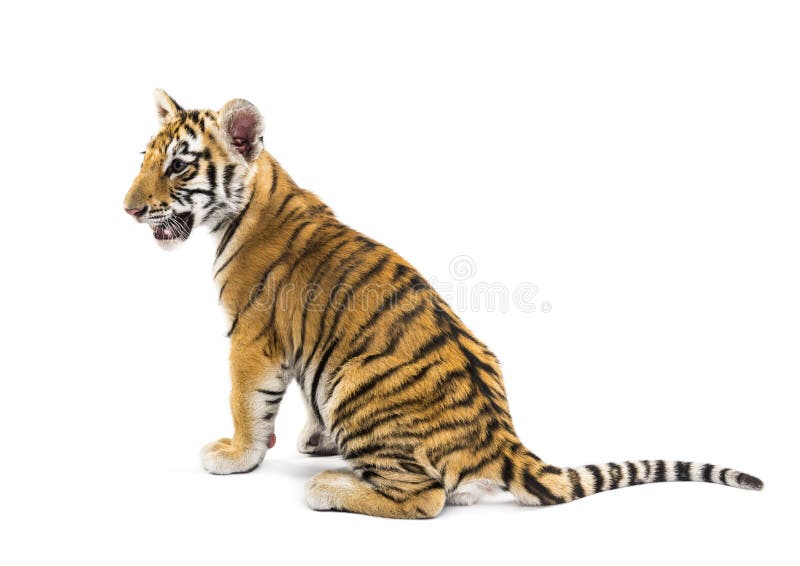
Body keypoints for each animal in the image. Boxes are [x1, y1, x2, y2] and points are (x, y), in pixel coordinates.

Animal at [123, 89, 763, 519]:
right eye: (145, 158)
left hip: (356, 383)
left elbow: (245, 404)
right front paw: (311, 438)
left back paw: (328, 487)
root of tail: (503, 442)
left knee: (427, 498)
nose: (127, 209)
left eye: (178, 165)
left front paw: (235, 456)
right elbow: (302, 399)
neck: (252, 197)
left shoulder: (251, 338)